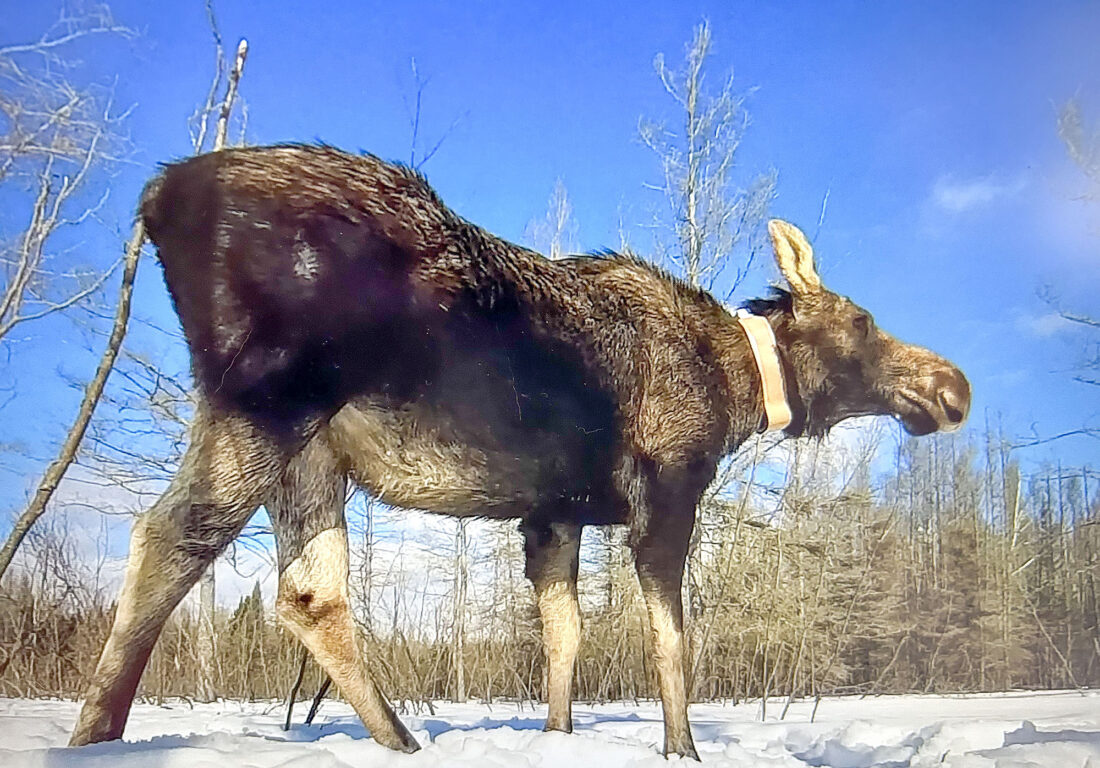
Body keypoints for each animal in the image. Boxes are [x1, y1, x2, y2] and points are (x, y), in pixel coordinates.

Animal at [68, 144, 969, 760]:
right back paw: (95, 734)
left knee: (309, 594)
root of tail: (157, 198)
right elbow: (670, 641)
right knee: (172, 538)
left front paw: (556, 735)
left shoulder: (553, 516)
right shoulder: (666, 493)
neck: (740, 387)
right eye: (862, 322)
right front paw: (682, 748)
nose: (952, 384)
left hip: (313, 451)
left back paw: (400, 739)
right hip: (269, 400)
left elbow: (563, 641)